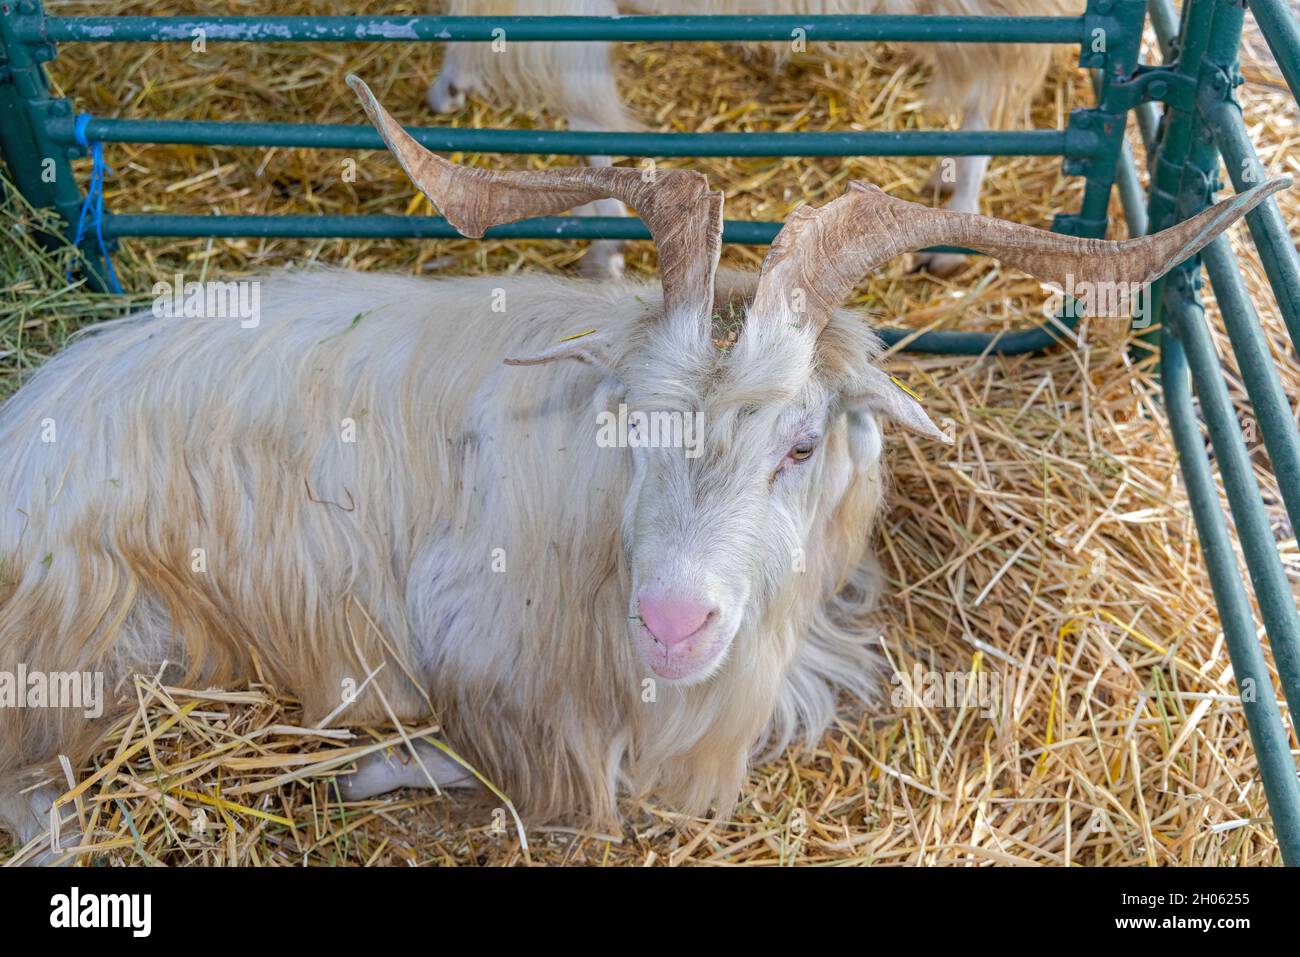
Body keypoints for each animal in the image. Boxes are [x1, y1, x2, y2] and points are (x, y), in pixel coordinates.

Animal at [0, 74, 1281, 863]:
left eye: (800, 443)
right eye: (632, 431)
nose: (669, 624)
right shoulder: (487, 657)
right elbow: (531, 773)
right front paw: (378, 764)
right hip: (96, 646)